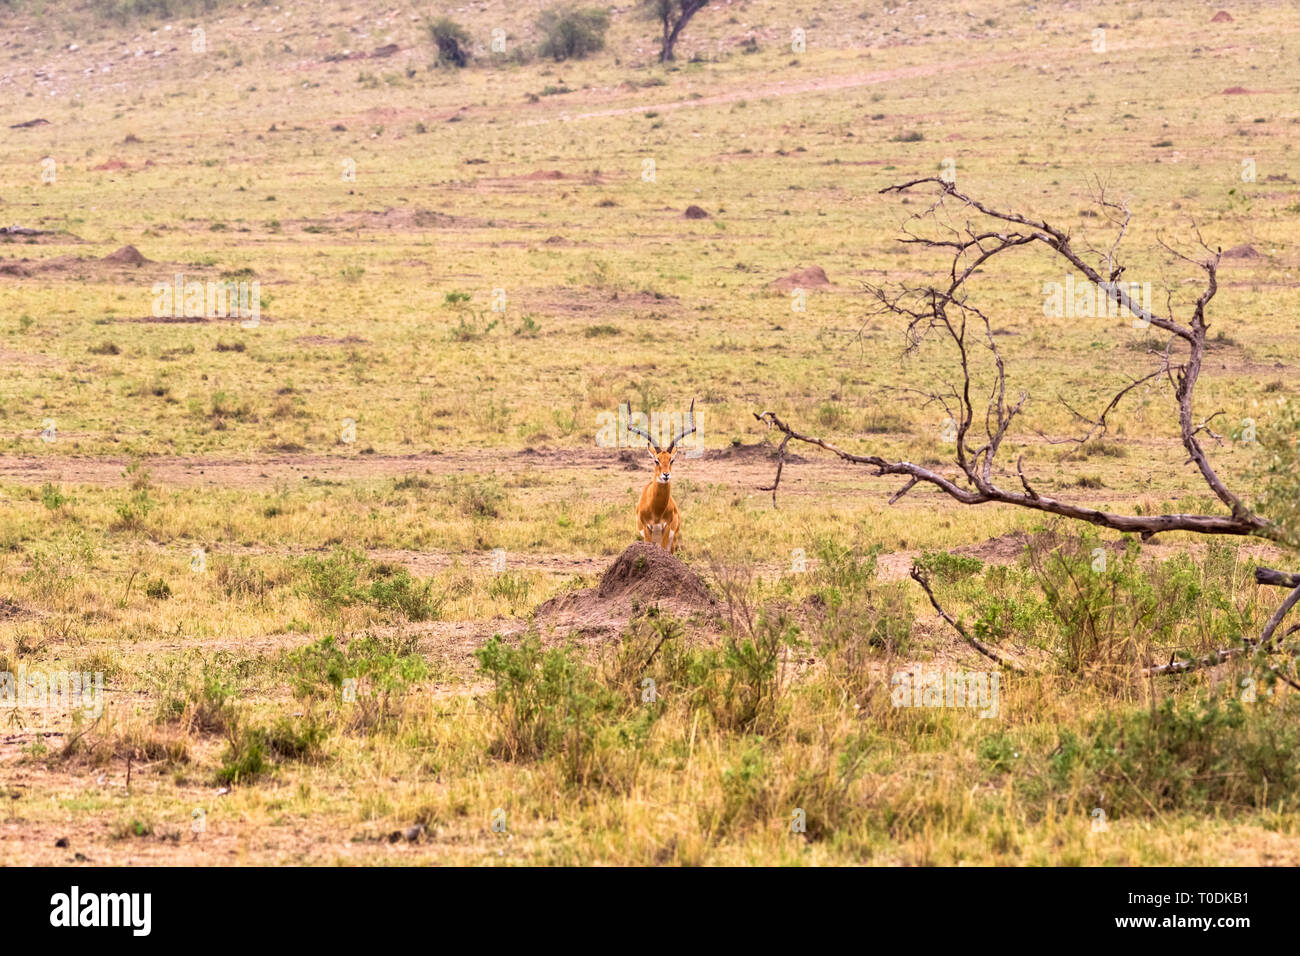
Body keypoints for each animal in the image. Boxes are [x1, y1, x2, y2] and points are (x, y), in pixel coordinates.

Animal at [627, 399, 696, 554]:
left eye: (672, 460)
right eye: (656, 460)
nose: (666, 475)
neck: (656, 510)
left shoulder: (666, 528)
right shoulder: (647, 528)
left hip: (674, 540)